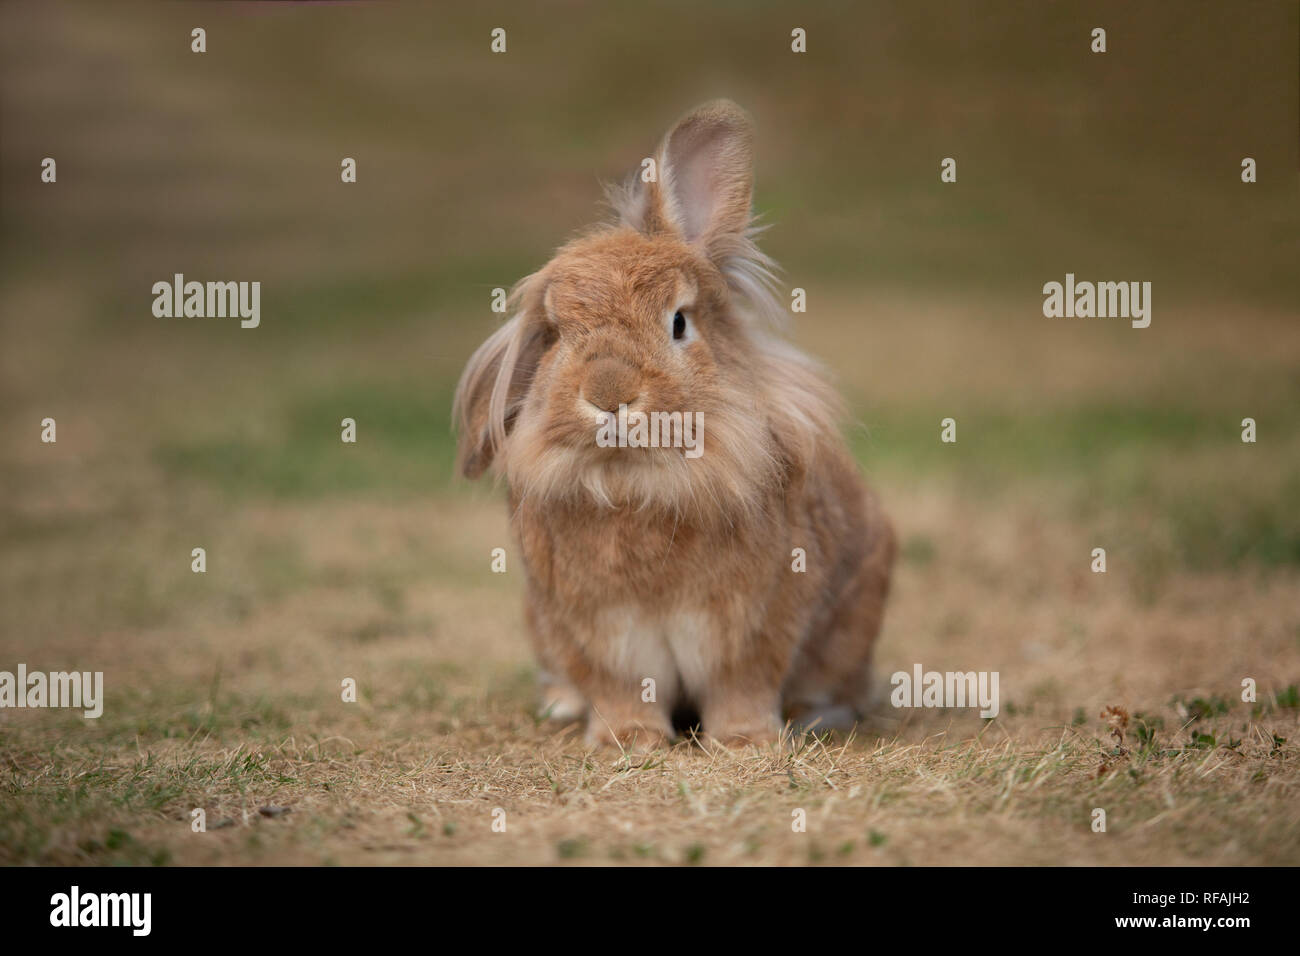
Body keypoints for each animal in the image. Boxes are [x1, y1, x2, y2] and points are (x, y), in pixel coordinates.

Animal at [454, 100, 895, 748]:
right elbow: (618, 689)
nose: (608, 395)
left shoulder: (756, 627)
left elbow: (743, 686)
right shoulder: (597, 635)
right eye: (556, 332)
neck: (640, 477)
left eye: (679, 323)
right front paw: (628, 740)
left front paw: (743, 742)